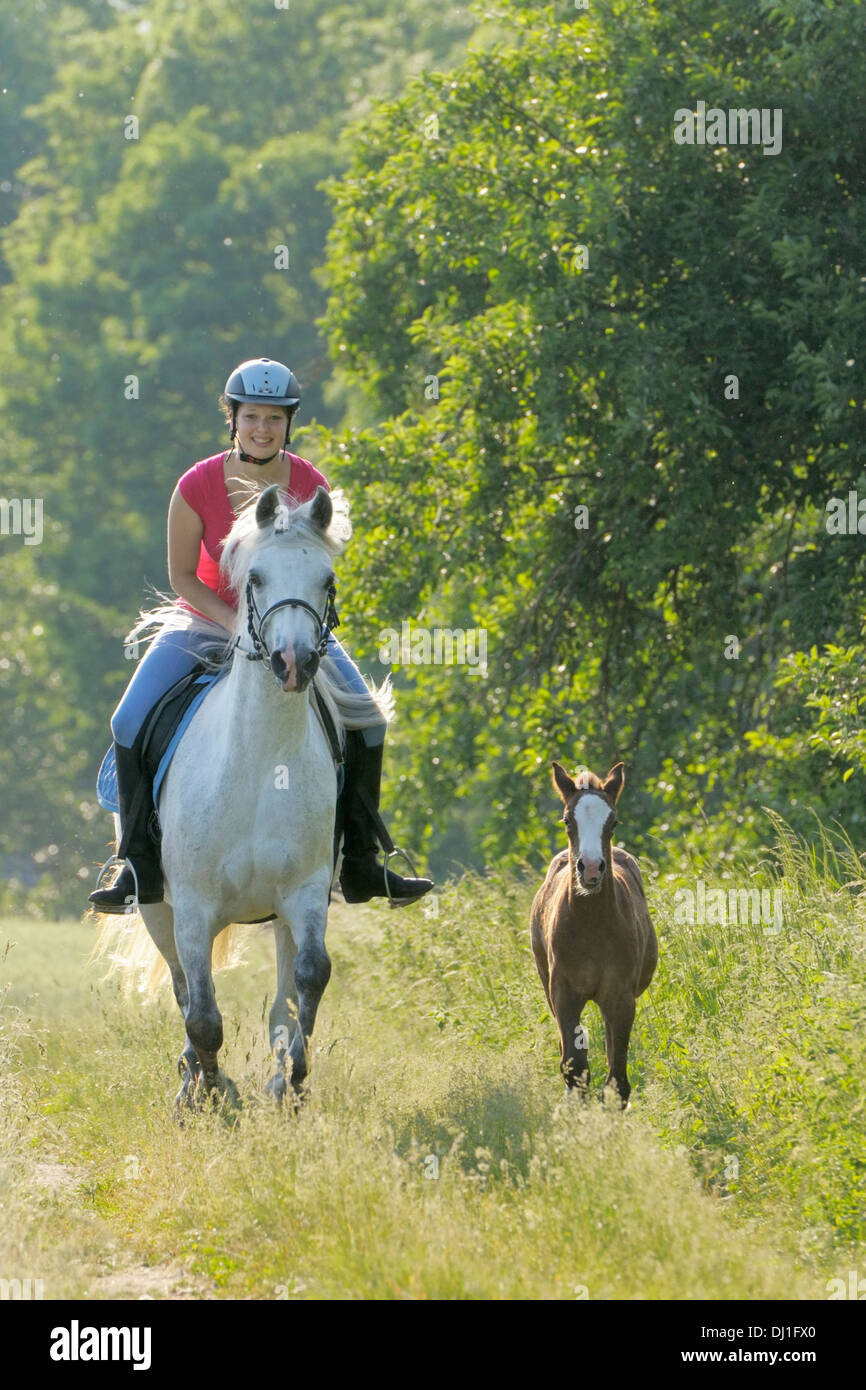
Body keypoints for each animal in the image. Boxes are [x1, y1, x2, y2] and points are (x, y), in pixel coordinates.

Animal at [530, 761, 657, 1106]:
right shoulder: (563, 994)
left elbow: (617, 1081)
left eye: (613, 821)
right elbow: (575, 1066)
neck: (591, 928)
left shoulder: (620, 997)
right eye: (567, 820)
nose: (589, 869)